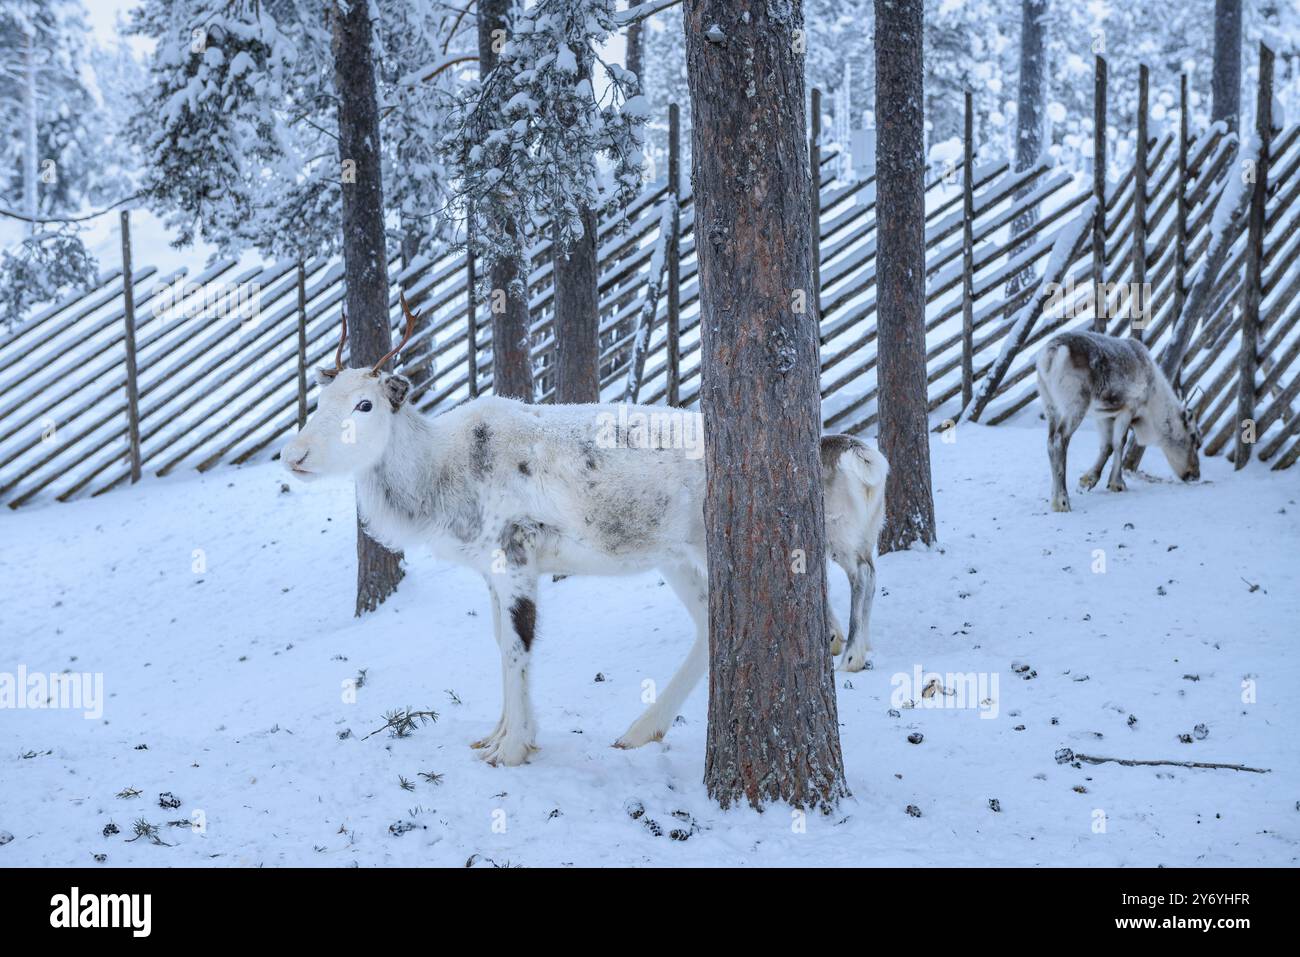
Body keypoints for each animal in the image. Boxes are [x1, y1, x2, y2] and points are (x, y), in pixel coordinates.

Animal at [280, 296, 888, 766]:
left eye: (365, 404)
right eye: (319, 400)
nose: (294, 455)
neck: (437, 480)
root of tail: (828, 445)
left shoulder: (515, 555)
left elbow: (517, 646)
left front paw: (513, 749)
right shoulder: (491, 569)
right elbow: (498, 641)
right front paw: (496, 736)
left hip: (713, 547)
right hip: (676, 558)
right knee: (726, 624)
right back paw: (643, 730)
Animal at [1035, 330, 1201, 513]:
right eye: (1194, 438)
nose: (1195, 475)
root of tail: (1051, 353)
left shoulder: (1103, 414)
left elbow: (1106, 446)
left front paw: (1088, 480)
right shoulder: (1129, 407)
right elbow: (1119, 443)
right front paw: (1117, 483)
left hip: (1050, 405)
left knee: (1050, 441)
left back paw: (1054, 498)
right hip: (1075, 404)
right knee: (1059, 440)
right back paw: (1063, 501)